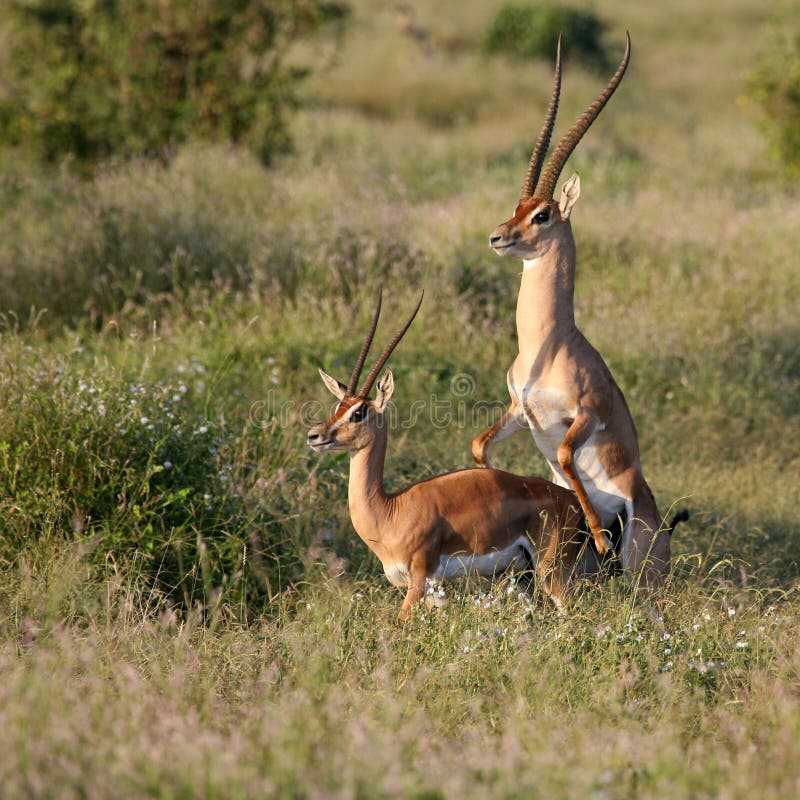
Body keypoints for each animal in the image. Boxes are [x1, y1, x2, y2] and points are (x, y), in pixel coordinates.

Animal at [307, 291, 603, 620]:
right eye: (338, 407)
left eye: (358, 412)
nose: (315, 435)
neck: (390, 511)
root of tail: (572, 501)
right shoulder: (435, 590)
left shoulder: (419, 581)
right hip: (524, 577)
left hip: (552, 573)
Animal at [472, 34, 686, 592]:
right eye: (518, 205)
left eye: (542, 214)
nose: (497, 237)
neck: (546, 345)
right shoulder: (520, 411)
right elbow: (480, 444)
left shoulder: (584, 414)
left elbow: (567, 456)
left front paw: (599, 531)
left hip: (644, 570)